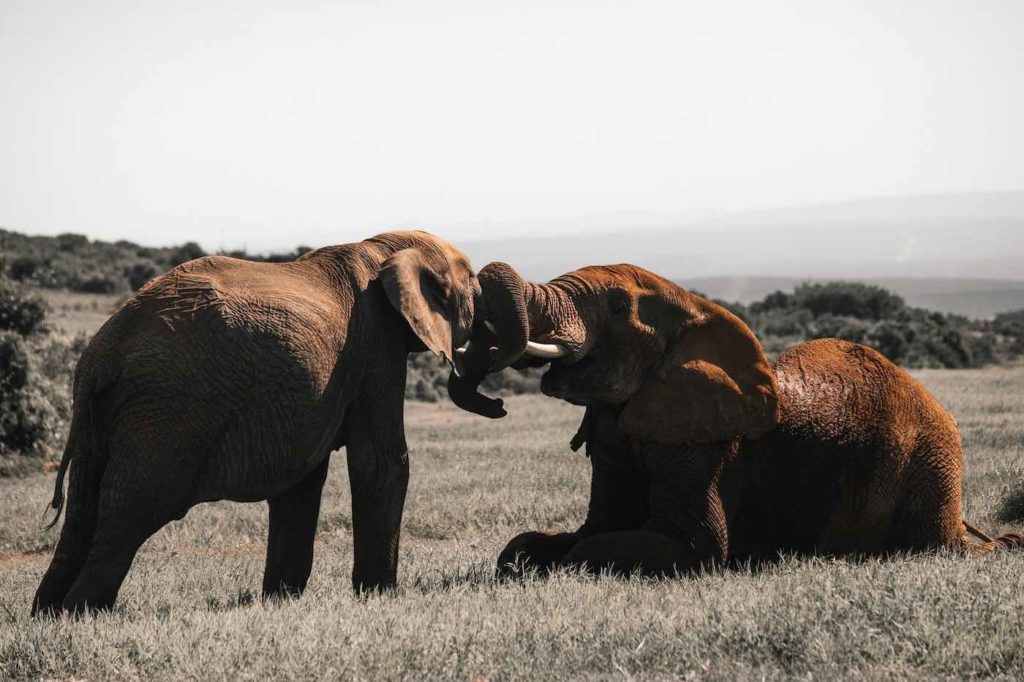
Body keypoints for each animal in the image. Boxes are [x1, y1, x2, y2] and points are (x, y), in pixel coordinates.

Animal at [32, 230, 509, 615]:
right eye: (472, 281)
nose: (501, 404)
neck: (385, 245)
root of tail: (102, 354)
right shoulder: (377, 346)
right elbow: (382, 464)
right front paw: (378, 596)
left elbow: (302, 482)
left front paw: (281, 599)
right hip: (164, 415)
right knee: (129, 517)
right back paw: (82, 615)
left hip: (102, 418)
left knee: (82, 515)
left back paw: (47, 615)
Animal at [449, 262, 1023, 578]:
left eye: (614, 308)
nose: (495, 403)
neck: (694, 311)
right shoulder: (617, 427)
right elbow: (561, 537)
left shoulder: (706, 443)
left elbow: (686, 546)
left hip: (930, 461)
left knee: (936, 545)